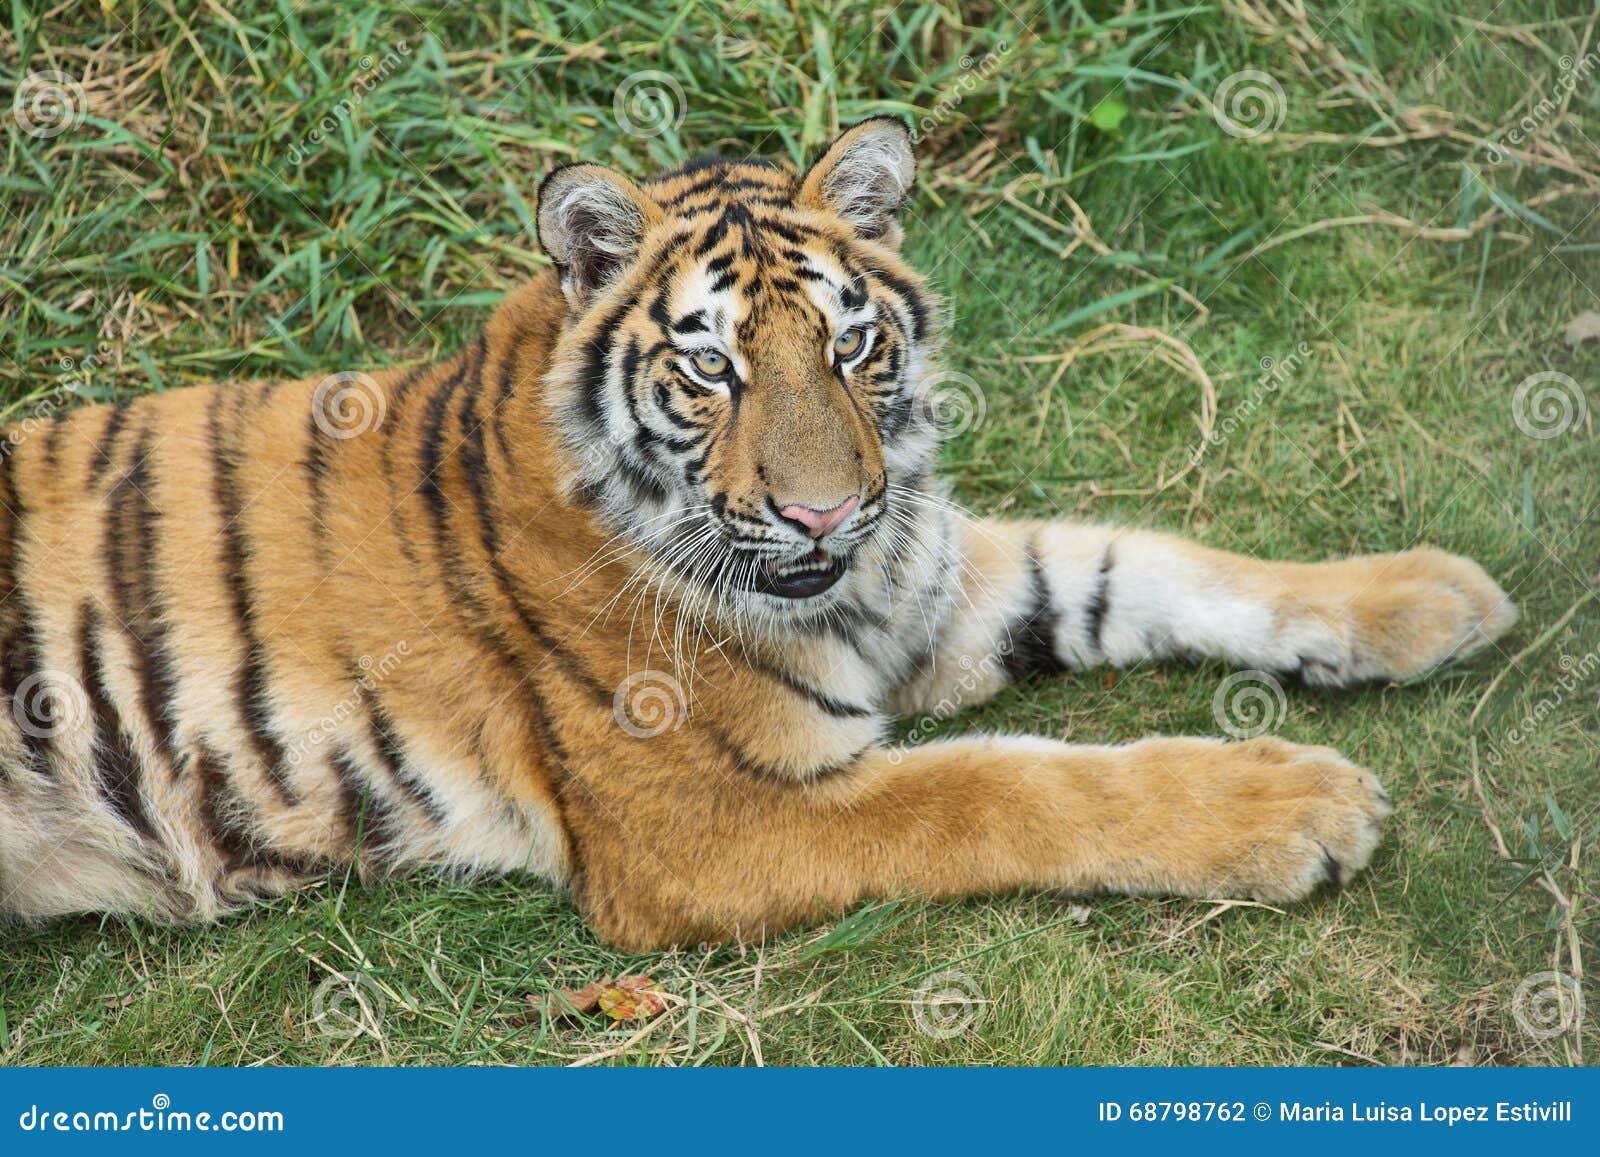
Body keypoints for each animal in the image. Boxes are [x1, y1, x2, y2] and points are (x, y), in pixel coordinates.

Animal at [0, 118, 1516, 950]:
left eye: (849, 344)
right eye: (712, 368)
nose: (825, 507)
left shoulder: (930, 578)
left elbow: (1142, 560)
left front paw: (1427, 598)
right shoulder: (711, 819)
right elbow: (1009, 786)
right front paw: (1298, 805)